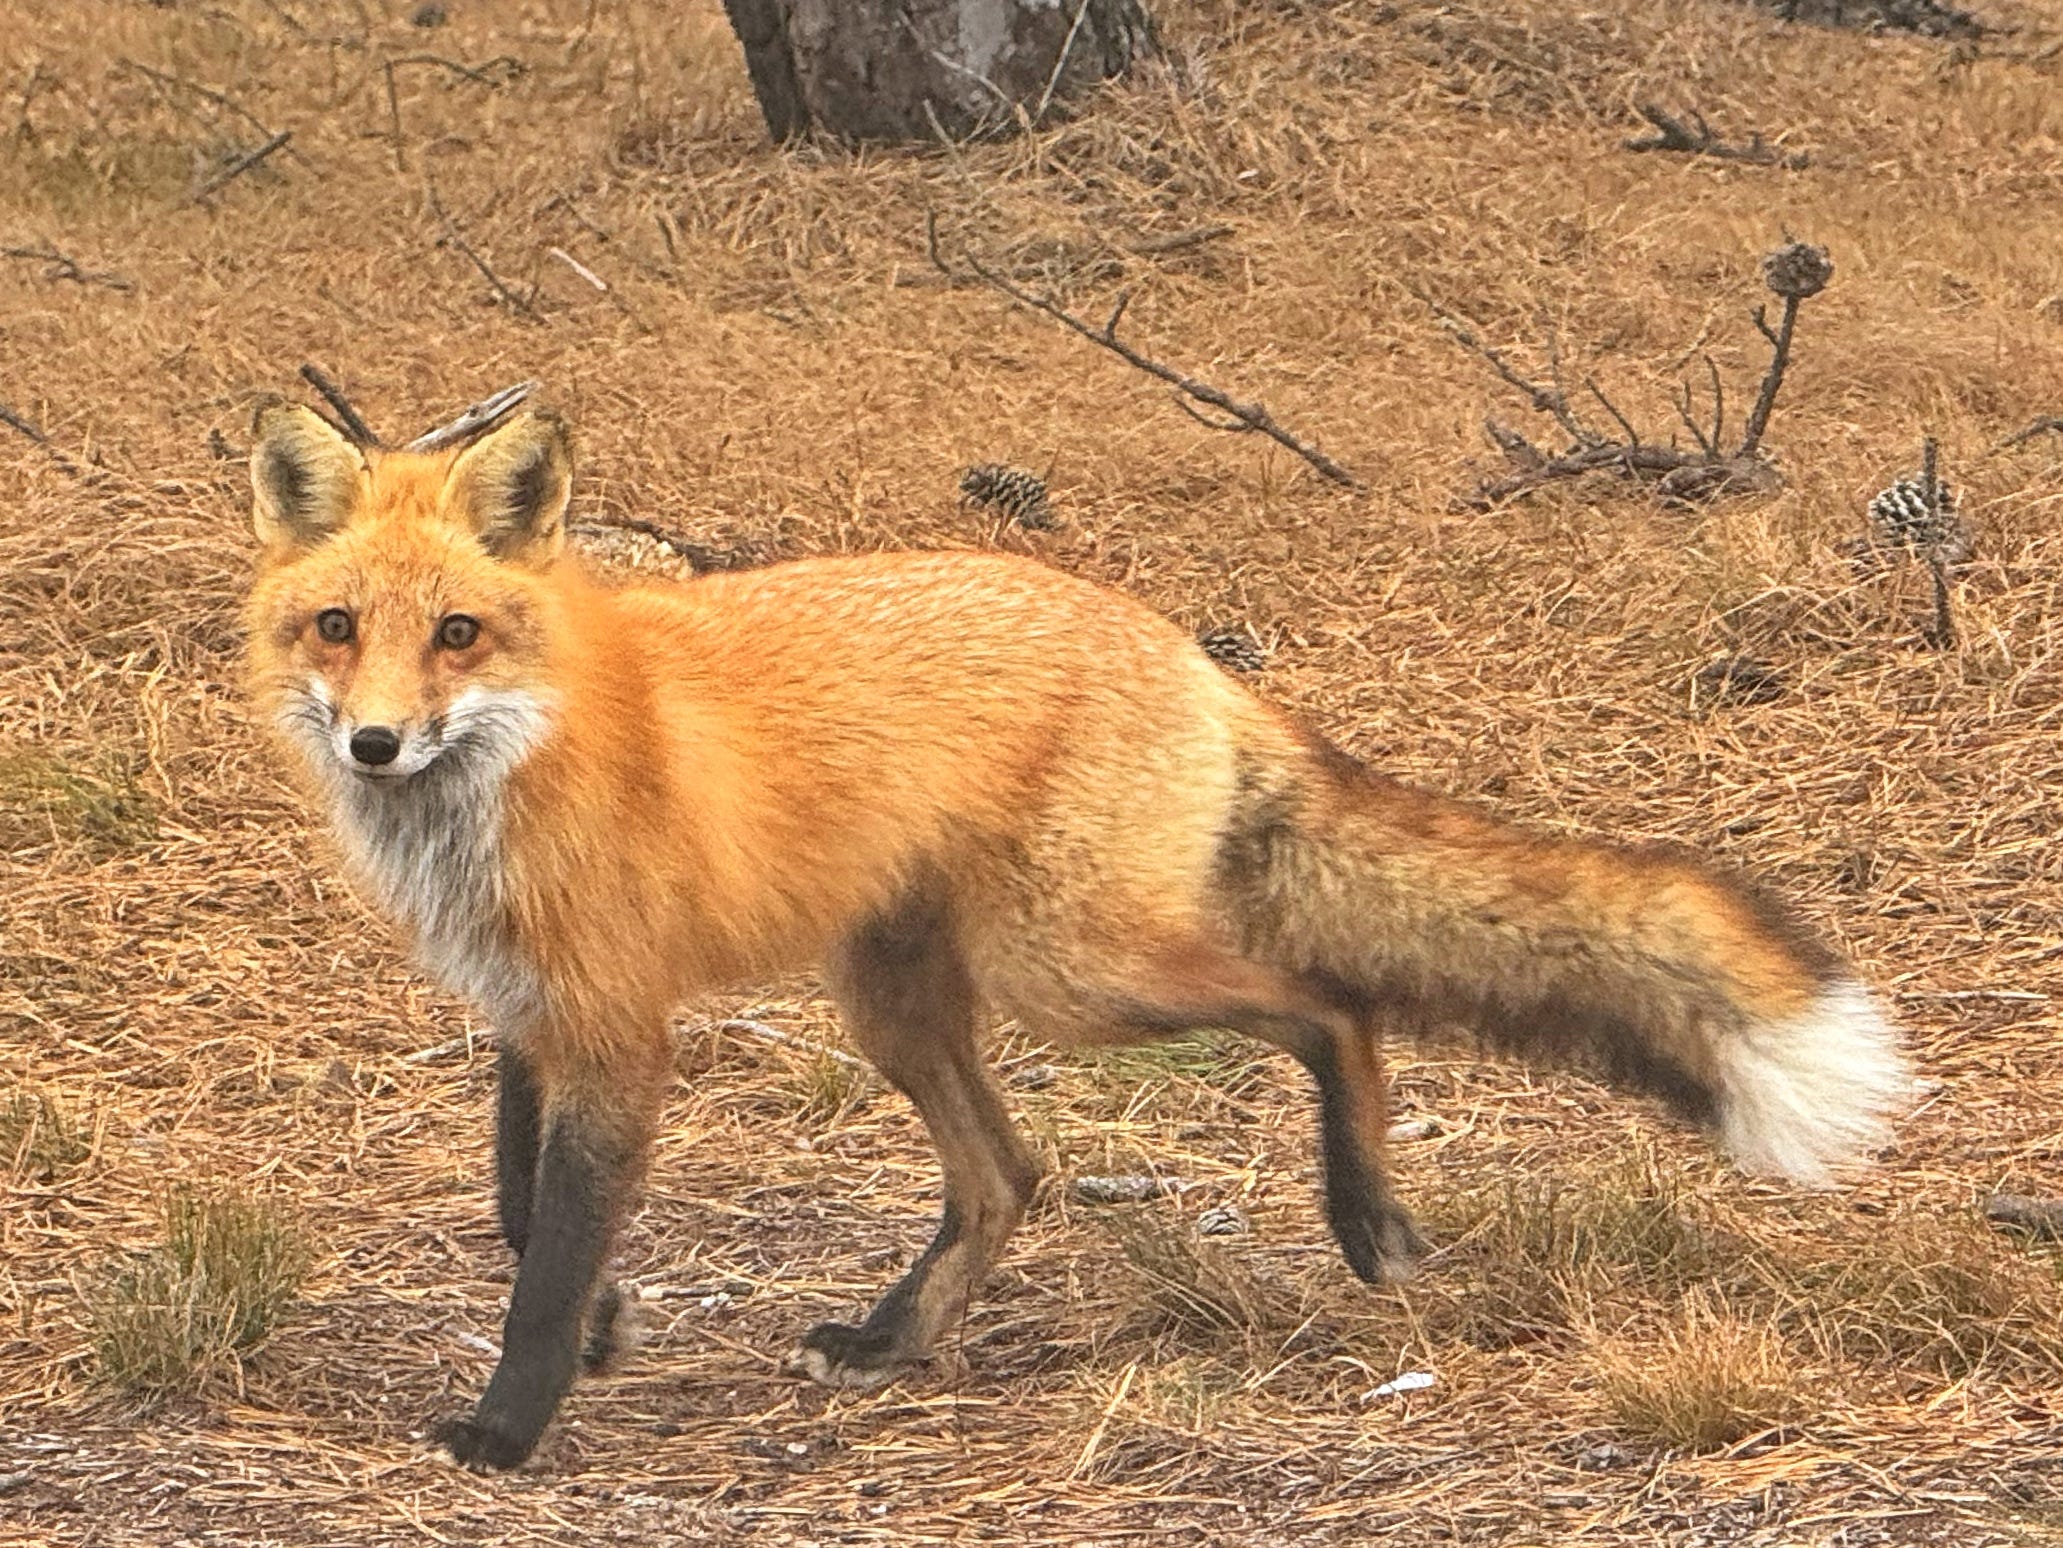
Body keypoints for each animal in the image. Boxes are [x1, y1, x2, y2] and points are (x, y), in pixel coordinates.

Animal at [242, 395, 1908, 1471]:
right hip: (899, 1004)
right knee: (1007, 1174)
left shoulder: (612, 1027)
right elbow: (523, 1214)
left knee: (1328, 1009)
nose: (375, 745)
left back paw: (1363, 1215)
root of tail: (1185, 650)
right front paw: (603, 1330)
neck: (519, 757)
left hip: (1072, 976)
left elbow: (543, 1252)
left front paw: (510, 1425)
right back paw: (891, 1342)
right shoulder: (534, 1019)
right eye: (338, 628)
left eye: (458, 633)